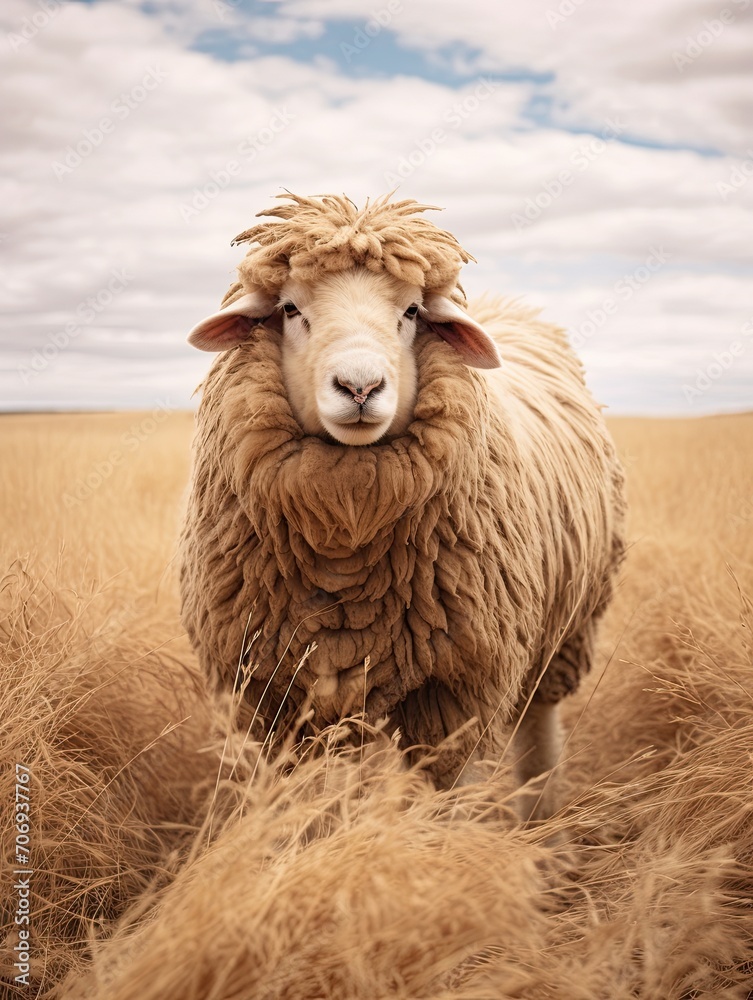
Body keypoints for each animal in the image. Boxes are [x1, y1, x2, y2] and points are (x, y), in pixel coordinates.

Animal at [180, 192, 626, 818]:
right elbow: (307, 807)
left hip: (564, 634)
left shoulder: (457, 695)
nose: (360, 387)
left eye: (412, 311)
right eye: (290, 308)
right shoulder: (276, 699)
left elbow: (451, 801)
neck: (346, 538)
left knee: (540, 732)